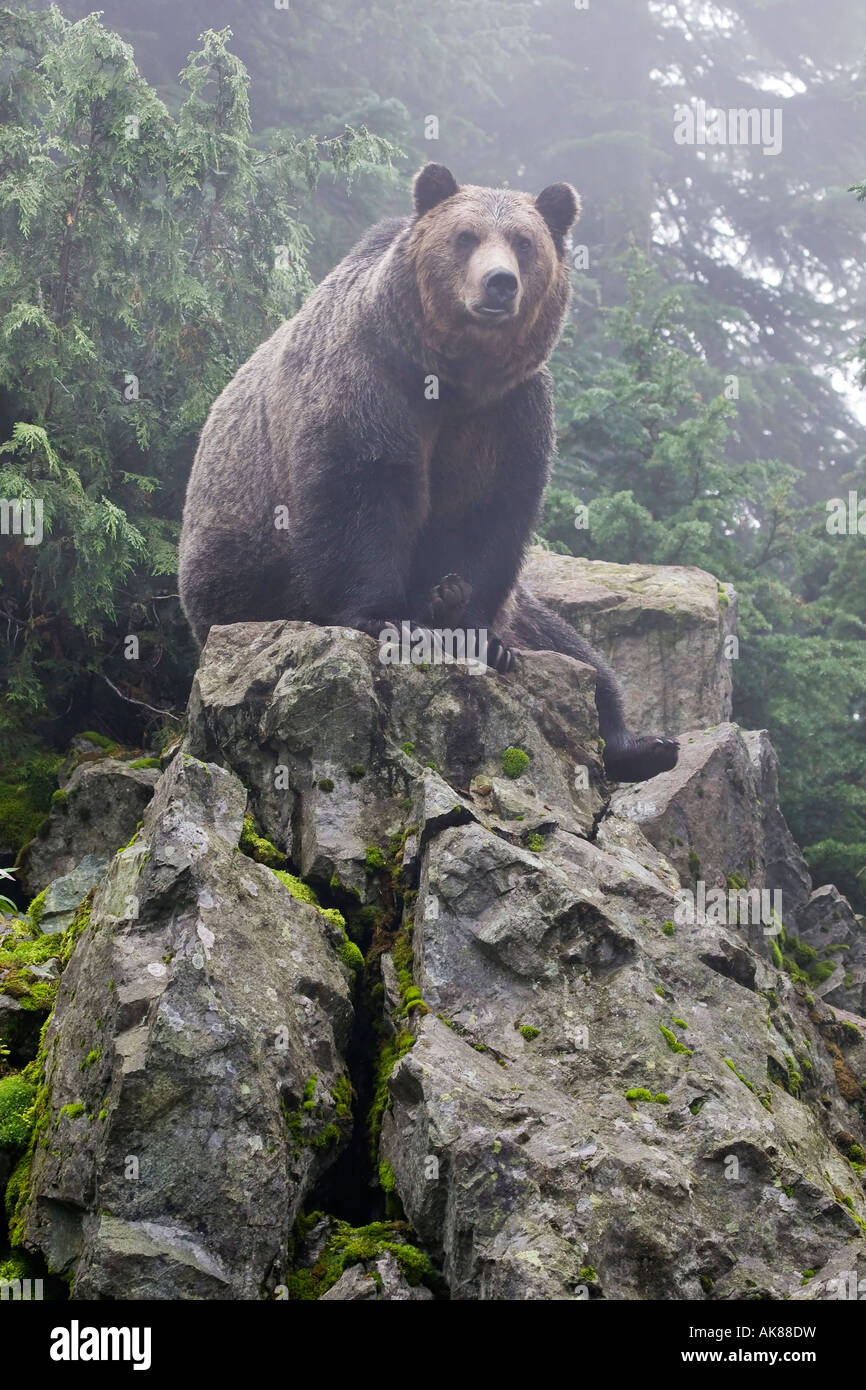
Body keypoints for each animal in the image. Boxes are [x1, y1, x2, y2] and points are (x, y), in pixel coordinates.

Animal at [179, 163, 678, 783]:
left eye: (524, 242)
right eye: (465, 236)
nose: (499, 284)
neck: (452, 378)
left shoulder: (507, 414)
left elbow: (490, 515)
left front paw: (475, 632)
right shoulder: (371, 381)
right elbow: (362, 490)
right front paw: (391, 619)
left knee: (578, 653)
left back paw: (640, 741)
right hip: (243, 571)